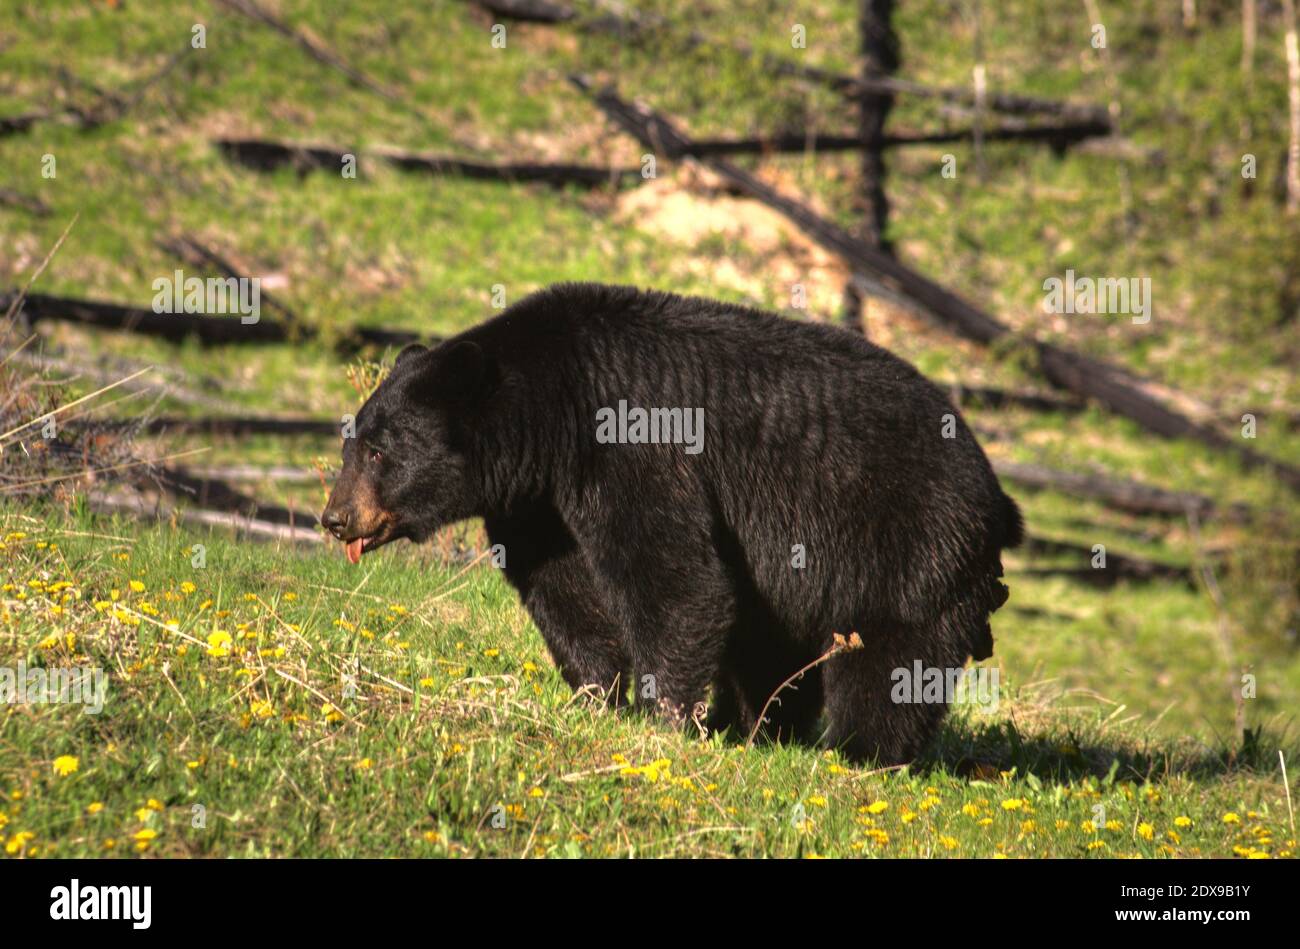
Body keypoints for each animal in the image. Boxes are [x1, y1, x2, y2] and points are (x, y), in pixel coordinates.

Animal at [321, 282, 1022, 765]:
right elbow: (564, 588)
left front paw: (663, 717)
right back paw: (756, 727)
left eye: (380, 451)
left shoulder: (633, 443)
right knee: (771, 645)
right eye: (352, 441)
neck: (551, 413)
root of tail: (997, 495)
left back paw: (858, 753)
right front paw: (595, 695)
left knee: (893, 661)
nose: (335, 518)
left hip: (906, 539)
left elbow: (676, 579)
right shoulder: (539, 502)